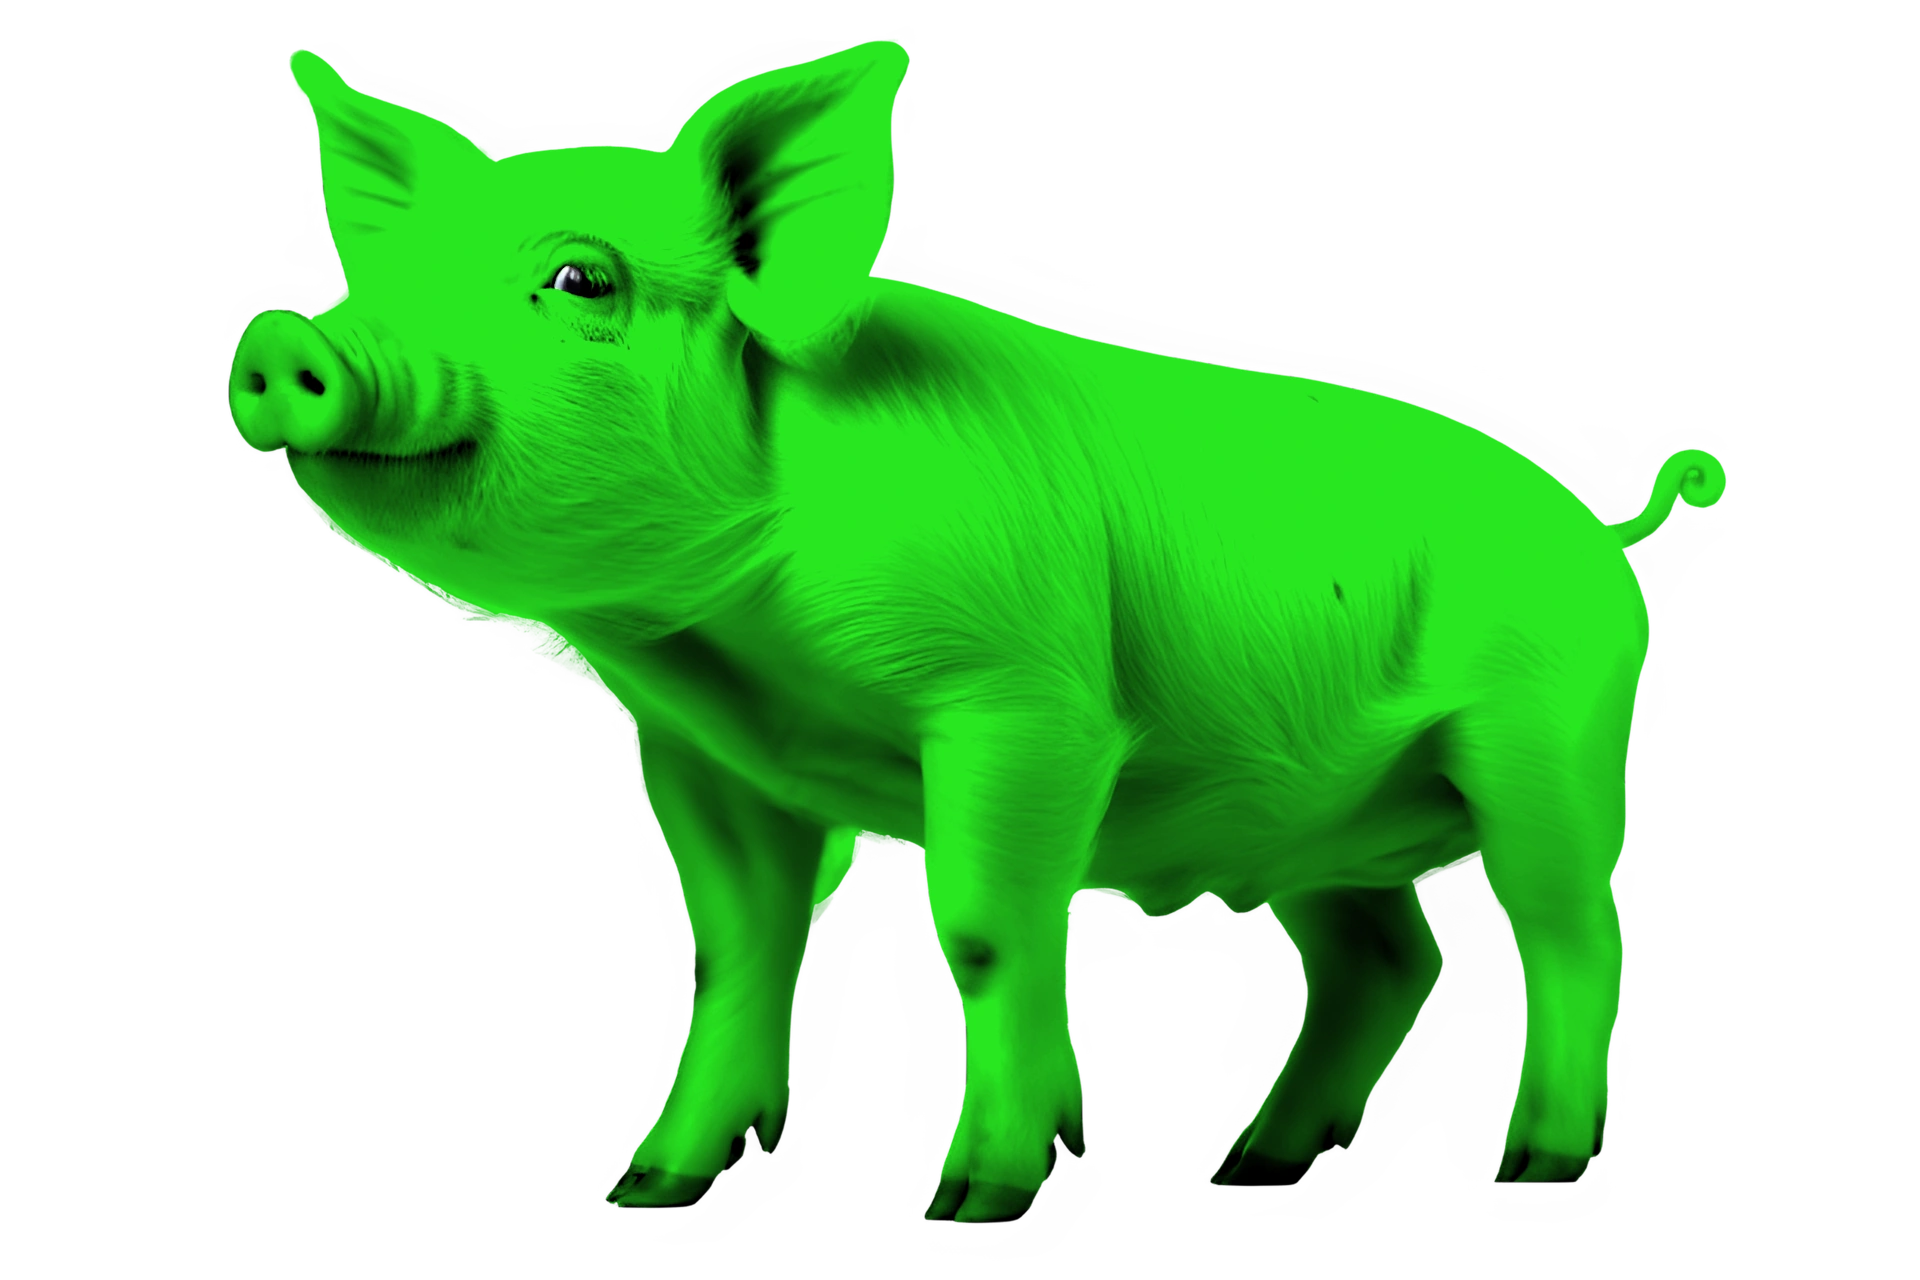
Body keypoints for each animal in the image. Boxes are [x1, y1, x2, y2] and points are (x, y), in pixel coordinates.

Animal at [227, 40, 1726, 1223]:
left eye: (580, 279)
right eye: (374, 277)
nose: (286, 336)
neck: (732, 649)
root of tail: (1603, 529)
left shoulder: (1025, 700)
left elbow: (984, 933)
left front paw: (975, 1199)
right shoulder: (702, 754)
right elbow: (731, 946)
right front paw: (651, 1186)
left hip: (1550, 736)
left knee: (1572, 931)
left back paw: (1534, 1167)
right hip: (1321, 815)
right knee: (1391, 957)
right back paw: (1251, 1167)